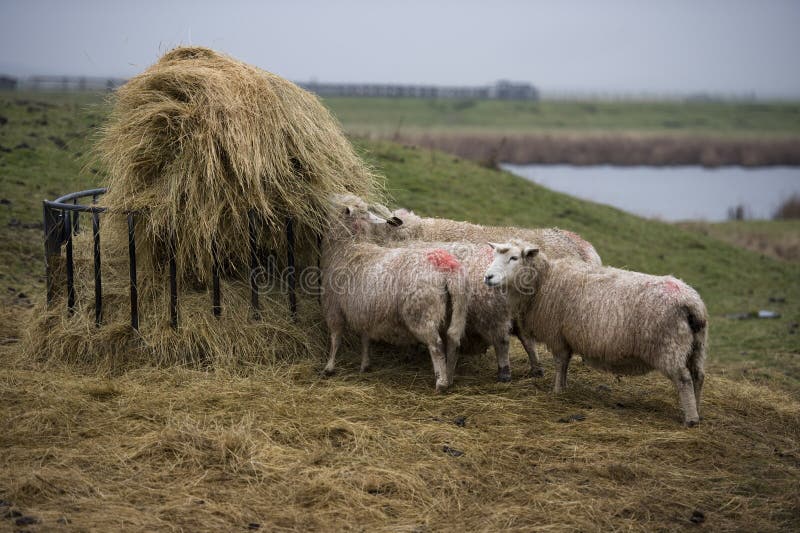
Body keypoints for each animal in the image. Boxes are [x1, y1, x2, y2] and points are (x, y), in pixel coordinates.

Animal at [322, 195, 468, 392]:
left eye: (339, 205)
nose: (327, 199)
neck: (349, 246)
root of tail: (446, 266)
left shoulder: (334, 306)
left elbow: (336, 337)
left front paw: (329, 367)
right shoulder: (364, 309)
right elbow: (365, 338)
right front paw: (365, 365)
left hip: (421, 312)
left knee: (436, 345)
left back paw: (441, 383)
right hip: (457, 309)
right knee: (453, 339)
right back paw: (450, 377)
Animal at [484, 239, 707, 426]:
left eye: (513, 258)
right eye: (494, 256)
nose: (487, 277)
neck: (544, 280)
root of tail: (691, 302)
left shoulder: (558, 335)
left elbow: (560, 363)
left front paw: (557, 390)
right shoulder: (566, 336)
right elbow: (564, 364)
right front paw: (564, 387)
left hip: (669, 346)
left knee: (684, 379)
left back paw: (691, 419)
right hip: (697, 346)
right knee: (698, 375)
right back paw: (696, 409)